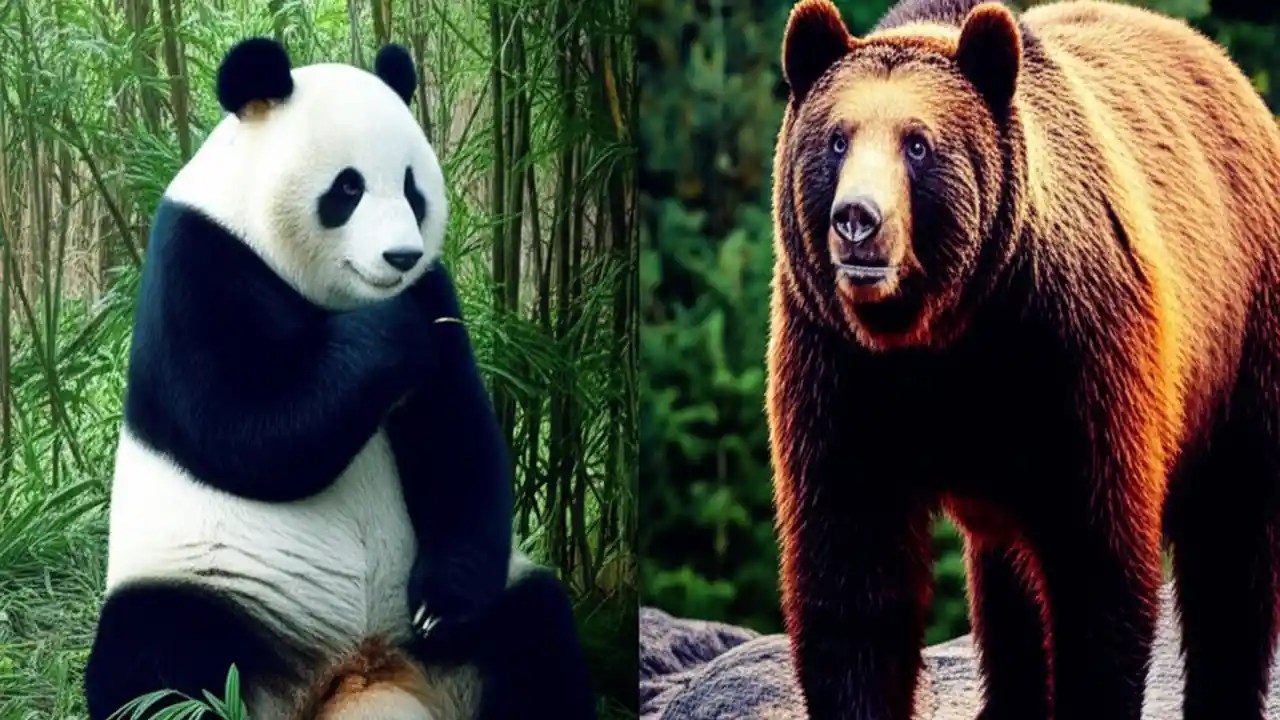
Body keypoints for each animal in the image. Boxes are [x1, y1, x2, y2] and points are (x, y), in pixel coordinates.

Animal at [83, 38, 596, 720]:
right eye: (347, 188)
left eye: (411, 188)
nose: (401, 257)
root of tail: (358, 666)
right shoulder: (195, 264)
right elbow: (246, 431)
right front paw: (389, 335)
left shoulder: (439, 291)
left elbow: (456, 439)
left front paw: (442, 607)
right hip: (219, 591)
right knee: (158, 664)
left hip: (475, 631)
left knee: (535, 633)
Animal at [766, 0, 1280, 719]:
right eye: (837, 139)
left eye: (918, 143)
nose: (857, 220)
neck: (941, 330)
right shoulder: (838, 364)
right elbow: (852, 569)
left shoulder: (1071, 347)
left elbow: (1096, 563)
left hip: (1241, 335)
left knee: (1231, 539)